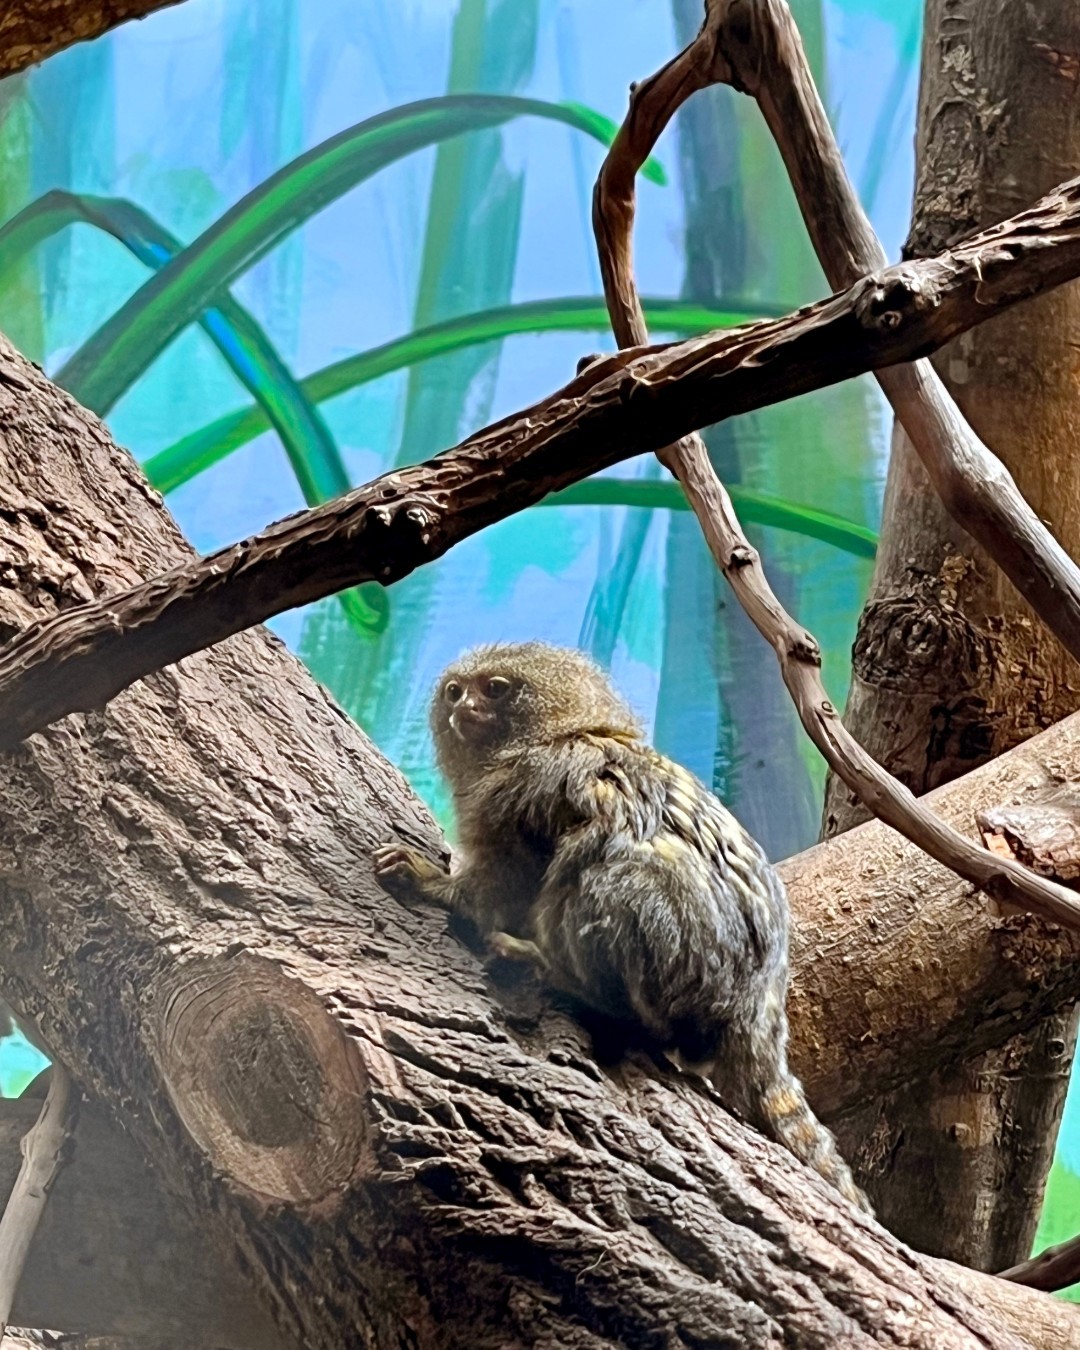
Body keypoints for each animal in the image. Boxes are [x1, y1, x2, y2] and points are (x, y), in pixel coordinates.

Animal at [373, 641, 869, 1211]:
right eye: (454, 692)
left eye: (494, 689)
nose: (463, 709)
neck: (556, 734)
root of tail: (755, 1006)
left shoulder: (517, 793)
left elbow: (500, 884)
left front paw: (431, 882)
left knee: (607, 881)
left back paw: (560, 976)